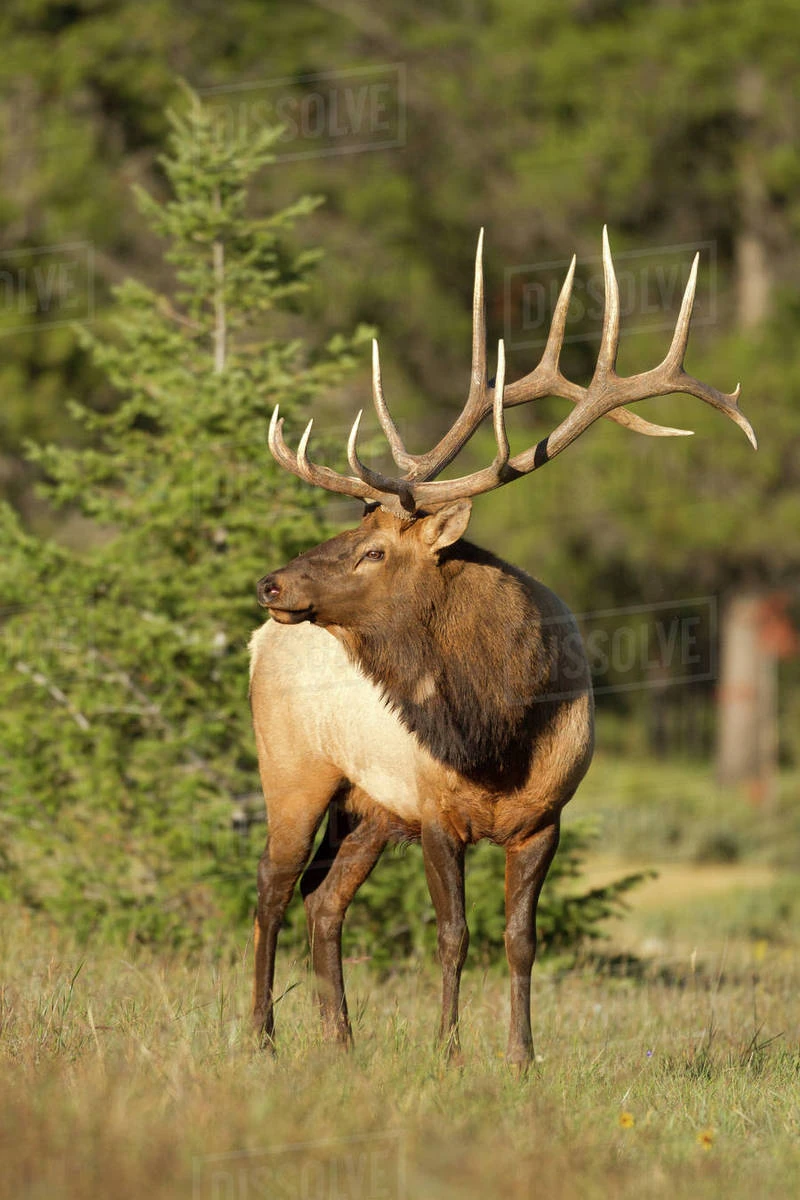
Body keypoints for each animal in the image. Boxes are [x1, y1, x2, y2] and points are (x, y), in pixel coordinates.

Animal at [249, 227, 756, 1066]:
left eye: (372, 550)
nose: (270, 583)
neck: (497, 730)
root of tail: (257, 645)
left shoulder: (545, 816)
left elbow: (521, 940)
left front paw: (520, 1056)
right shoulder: (434, 811)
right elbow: (454, 937)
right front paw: (449, 1051)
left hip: (367, 805)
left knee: (322, 901)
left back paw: (340, 1040)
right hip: (293, 771)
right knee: (271, 886)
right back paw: (261, 1035)